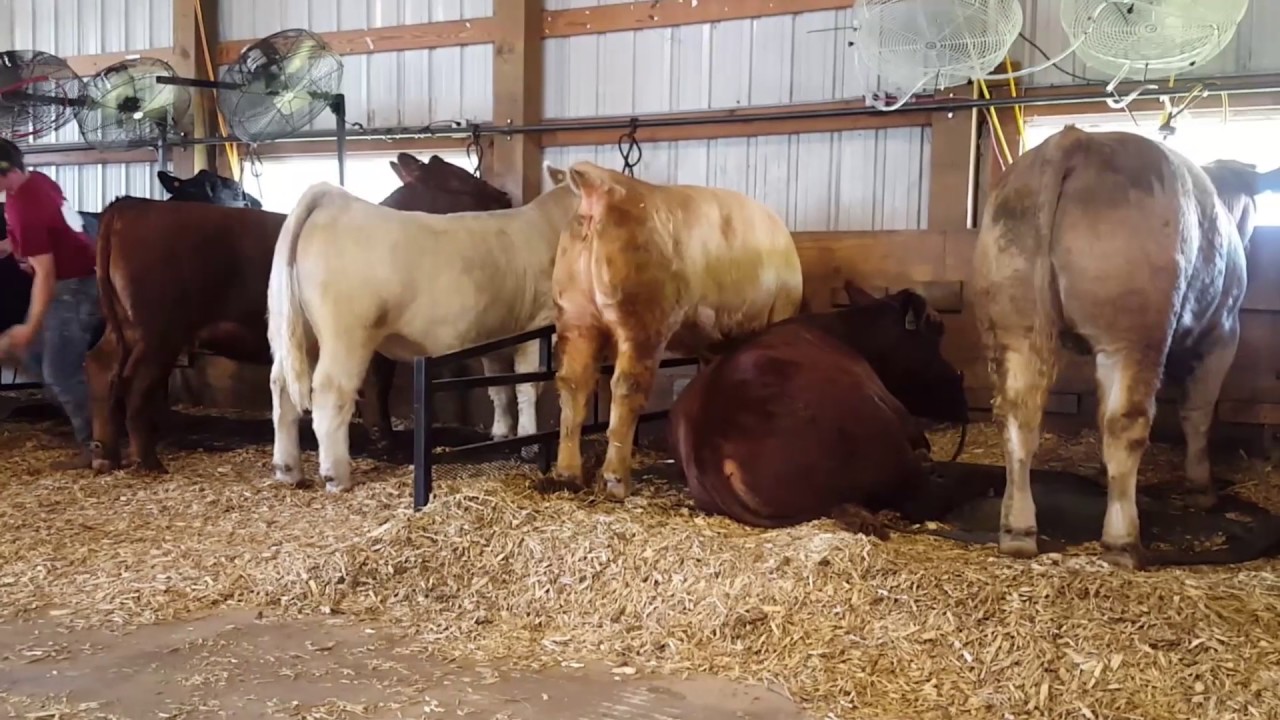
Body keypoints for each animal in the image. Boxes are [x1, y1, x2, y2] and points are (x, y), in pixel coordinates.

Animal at [87, 154, 512, 474]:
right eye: (460, 181)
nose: (505, 195)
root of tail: (131, 206)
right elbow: (377, 388)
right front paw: (387, 444)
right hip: (158, 329)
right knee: (134, 383)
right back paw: (148, 461)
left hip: (127, 327)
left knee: (101, 367)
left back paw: (105, 455)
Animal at [266, 164, 576, 494]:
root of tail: (334, 199)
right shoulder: (539, 325)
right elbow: (528, 386)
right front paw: (529, 444)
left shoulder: (496, 333)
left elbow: (499, 387)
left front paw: (502, 434)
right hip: (347, 334)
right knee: (330, 390)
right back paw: (335, 475)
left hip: (301, 332)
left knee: (282, 386)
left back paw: (288, 469)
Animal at [544, 162, 804, 502]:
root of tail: (597, 187)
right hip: (643, 316)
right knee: (626, 386)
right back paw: (615, 482)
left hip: (574, 315)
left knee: (573, 384)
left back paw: (567, 476)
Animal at [971, 125, 1280, 569]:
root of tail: (1075, 141)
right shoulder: (1222, 330)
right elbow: (1198, 413)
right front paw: (1201, 488)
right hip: (1134, 334)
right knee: (1124, 424)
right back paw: (1122, 540)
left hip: (1015, 322)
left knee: (1018, 418)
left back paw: (1018, 530)